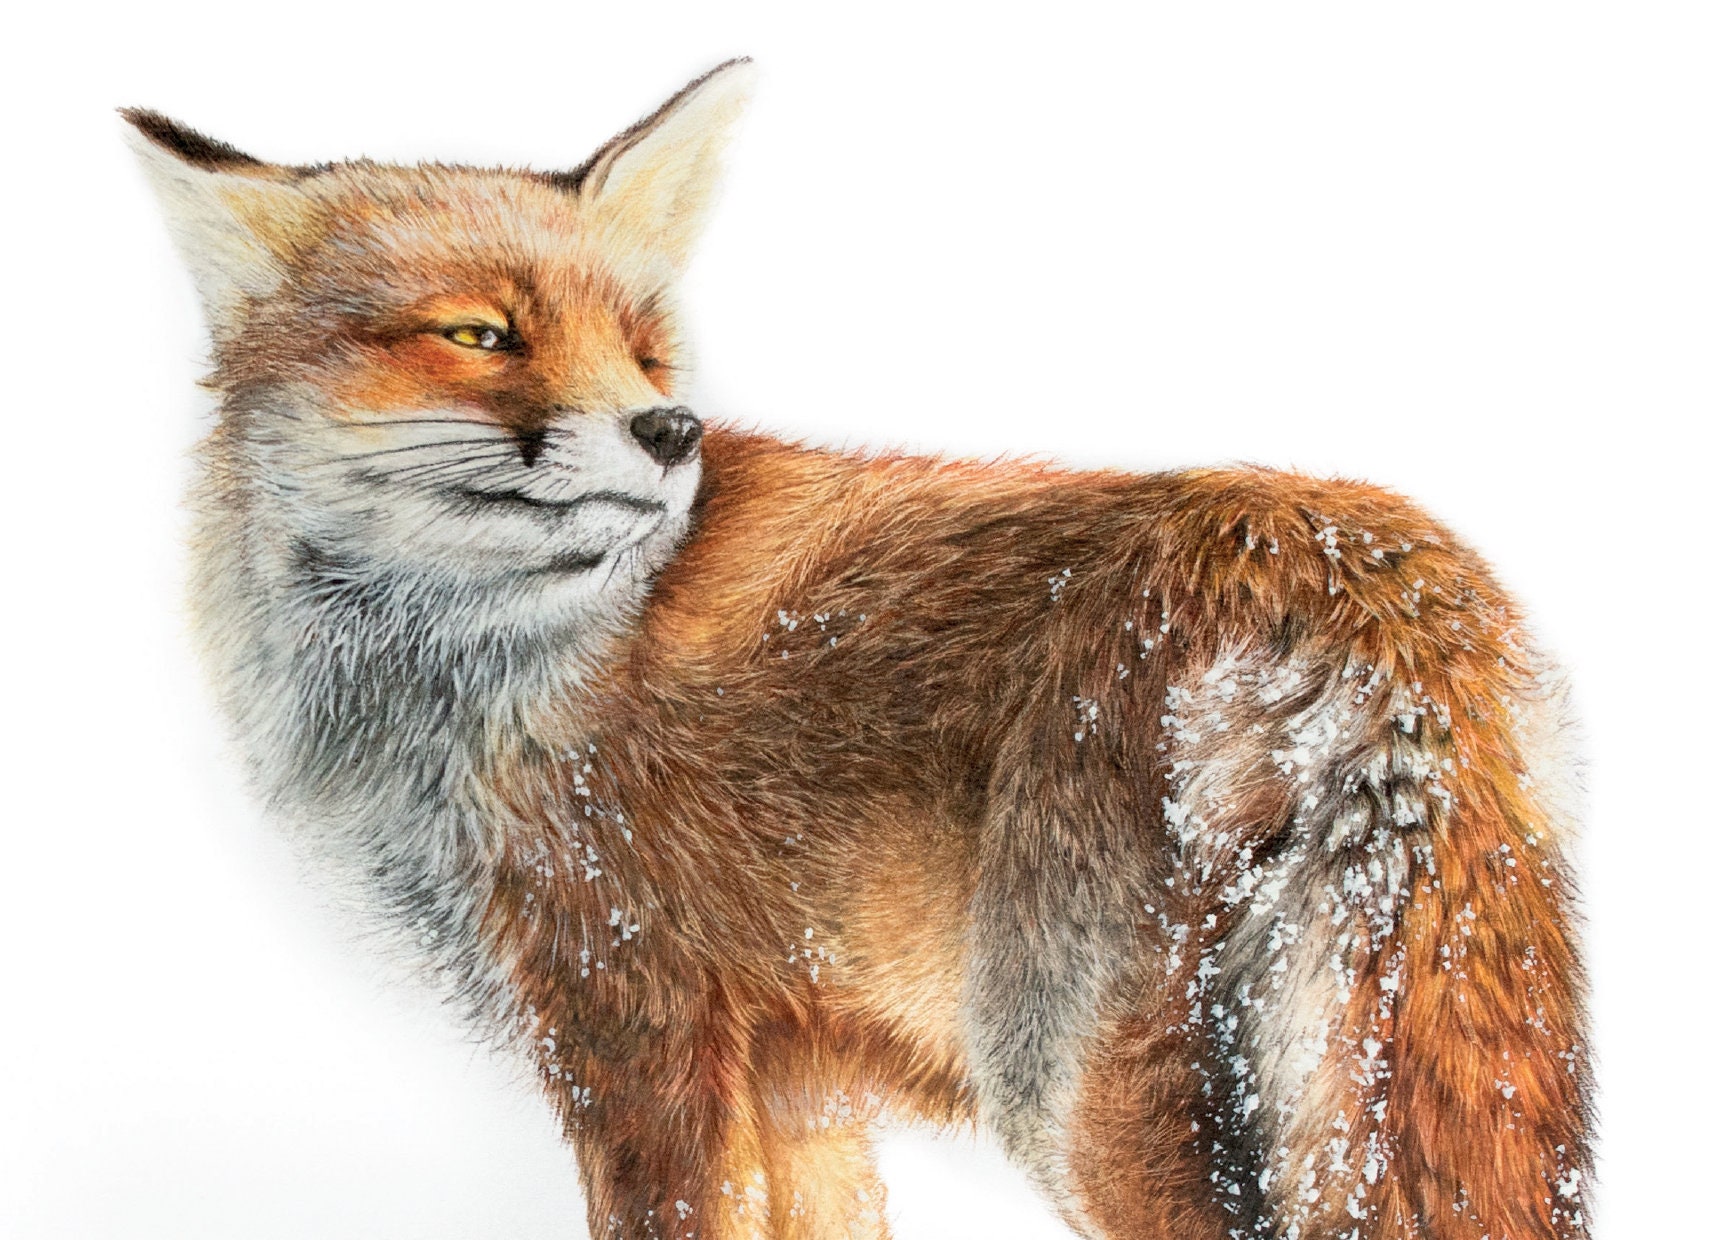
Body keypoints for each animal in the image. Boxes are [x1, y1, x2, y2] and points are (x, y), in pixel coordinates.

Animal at [127, 59, 1591, 1240]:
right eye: (482, 335)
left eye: (645, 353)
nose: (672, 432)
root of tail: (1354, 564)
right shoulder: (800, 1079)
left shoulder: (636, 1031)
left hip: (1074, 1094)